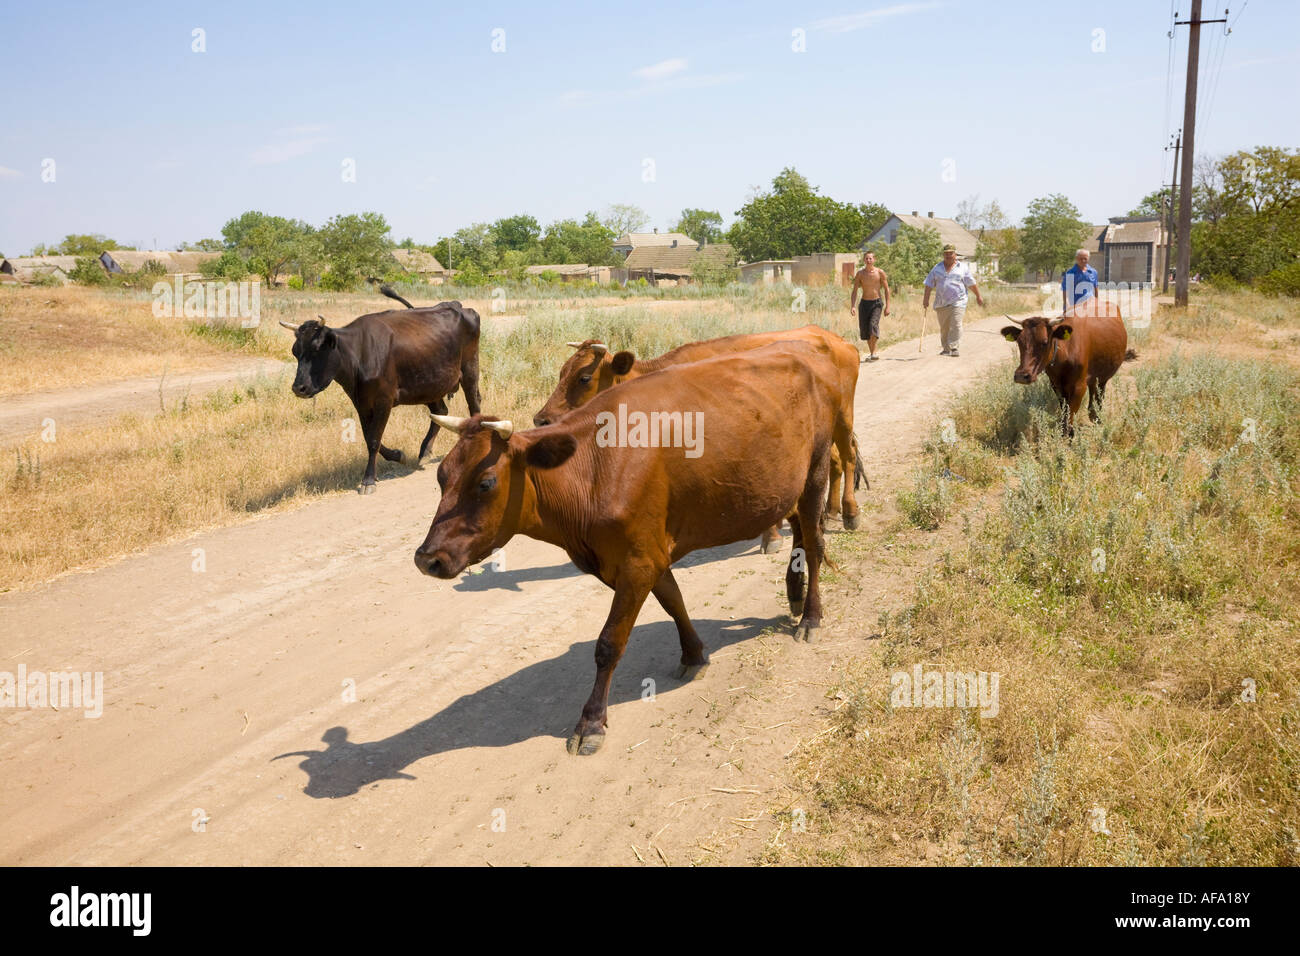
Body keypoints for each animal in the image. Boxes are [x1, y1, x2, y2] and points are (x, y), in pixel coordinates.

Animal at [280, 287, 481, 493]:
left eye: (317, 349)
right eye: (295, 351)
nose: (299, 387)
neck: (359, 353)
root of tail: (457, 305)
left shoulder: (384, 400)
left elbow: (374, 439)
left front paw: (368, 479)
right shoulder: (360, 402)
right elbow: (368, 436)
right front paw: (397, 455)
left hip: (469, 370)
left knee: (474, 405)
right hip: (429, 384)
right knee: (441, 411)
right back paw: (425, 451)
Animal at [414, 341, 845, 755]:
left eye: (485, 483)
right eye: (440, 476)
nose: (426, 558)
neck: (593, 468)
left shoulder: (637, 562)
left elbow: (609, 643)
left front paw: (590, 722)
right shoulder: (645, 554)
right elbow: (673, 600)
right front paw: (693, 654)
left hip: (816, 472)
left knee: (815, 544)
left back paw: (810, 616)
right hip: (784, 486)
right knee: (800, 536)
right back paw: (794, 594)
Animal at [532, 326, 865, 546]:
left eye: (584, 377)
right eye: (561, 373)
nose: (541, 419)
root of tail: (831, 338)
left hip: (844, 416)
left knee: (848, 457)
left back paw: (849, 513)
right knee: (835, 461)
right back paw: (828, 512)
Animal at [1000, 298, 1134, 436]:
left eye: (1044, 342)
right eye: (1019, 341)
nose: (1021, 376)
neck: (1065, 352)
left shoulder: (1079, 387)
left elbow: (1069, 415)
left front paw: (1068, 435)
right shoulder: (1057, 385)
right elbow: (1065, 410)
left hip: (1104, 376)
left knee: (1099, 393)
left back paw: (1097, 417)